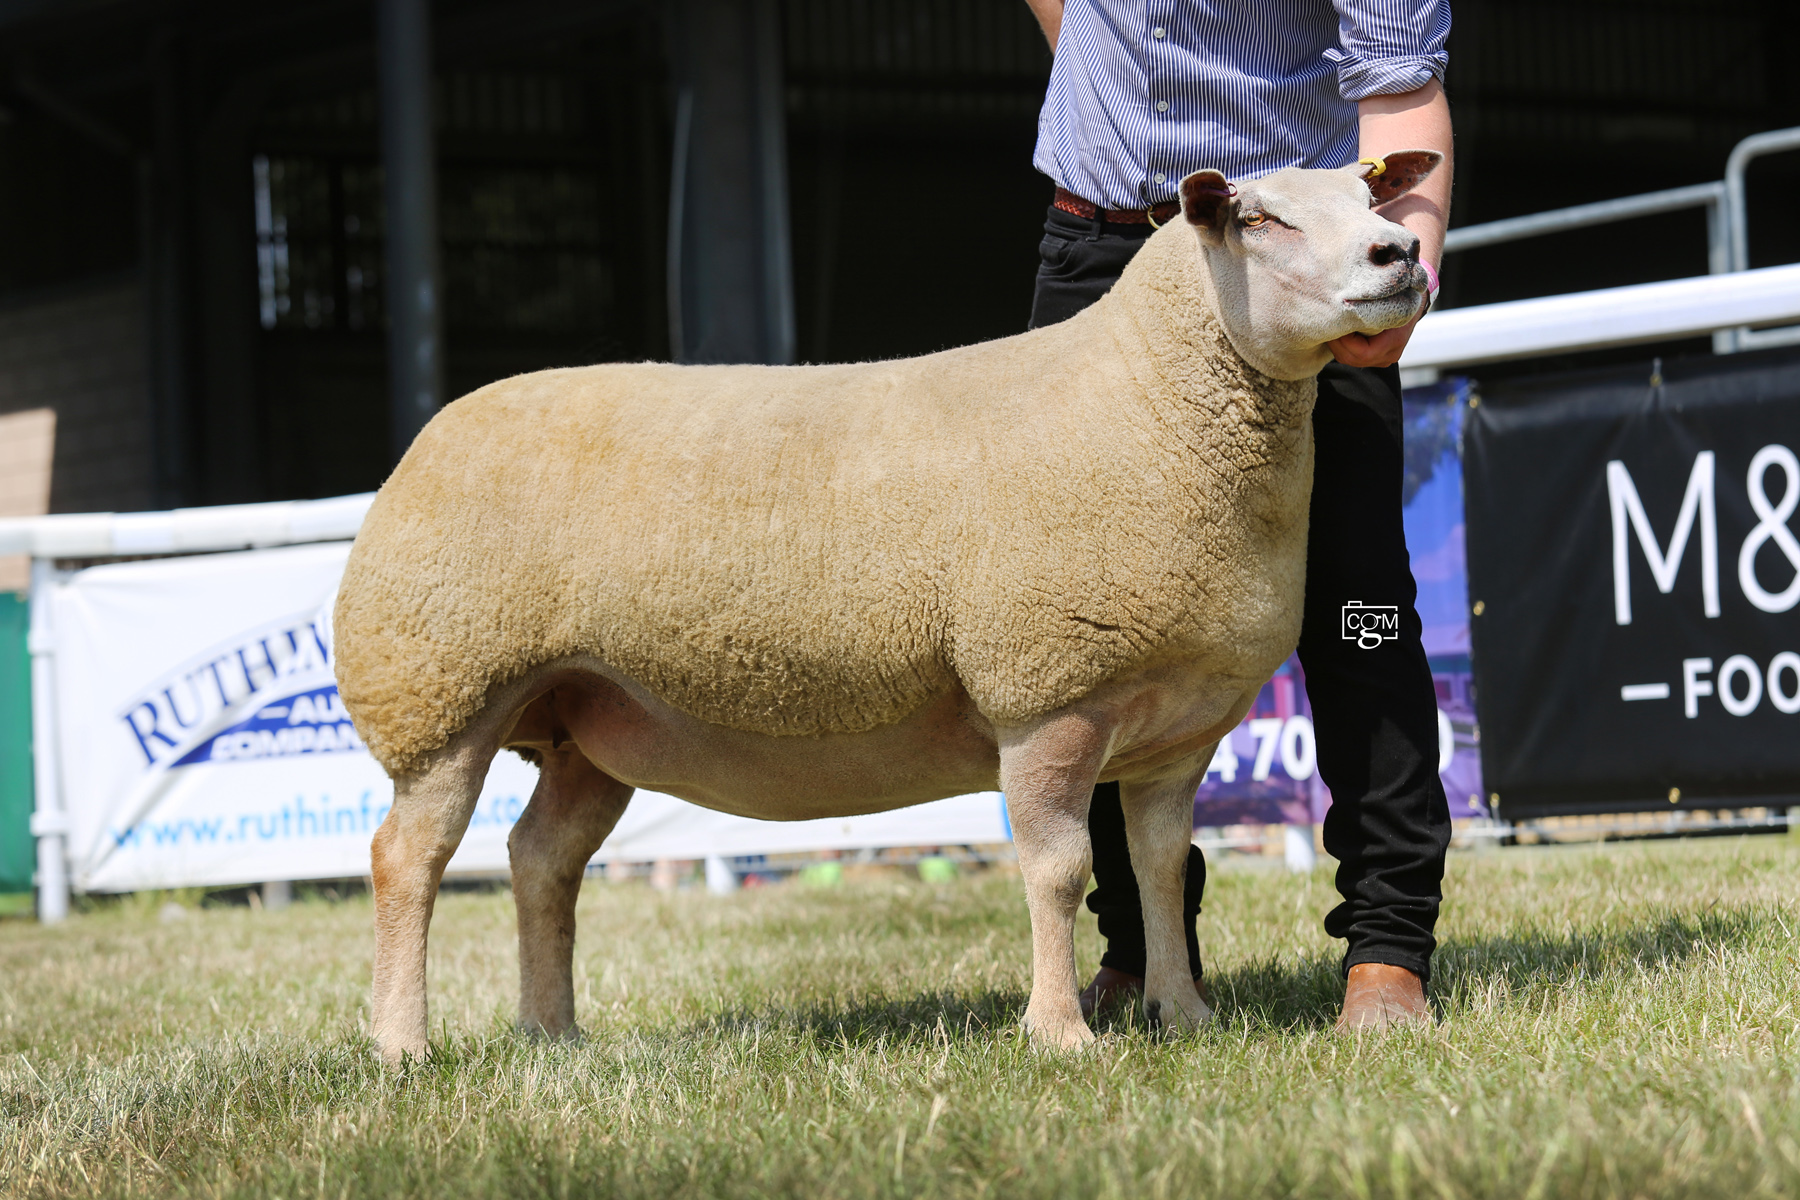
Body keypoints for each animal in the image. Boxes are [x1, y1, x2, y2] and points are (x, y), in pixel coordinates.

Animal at [335, 153, 1441, 1063]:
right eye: (1262, 220)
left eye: (1372, 202)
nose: (1402, 254)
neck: (1146, 399)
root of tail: (435, 429)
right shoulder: (1044, 691)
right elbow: (1059, 868)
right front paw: (1060, 1035)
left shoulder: (1176, 723)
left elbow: (1161, 867)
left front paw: (1186, 1016)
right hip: (441, 688)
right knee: (406, 860)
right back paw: (402, 1044)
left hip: (587, 718)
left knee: (540, 860)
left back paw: (552, 1034)